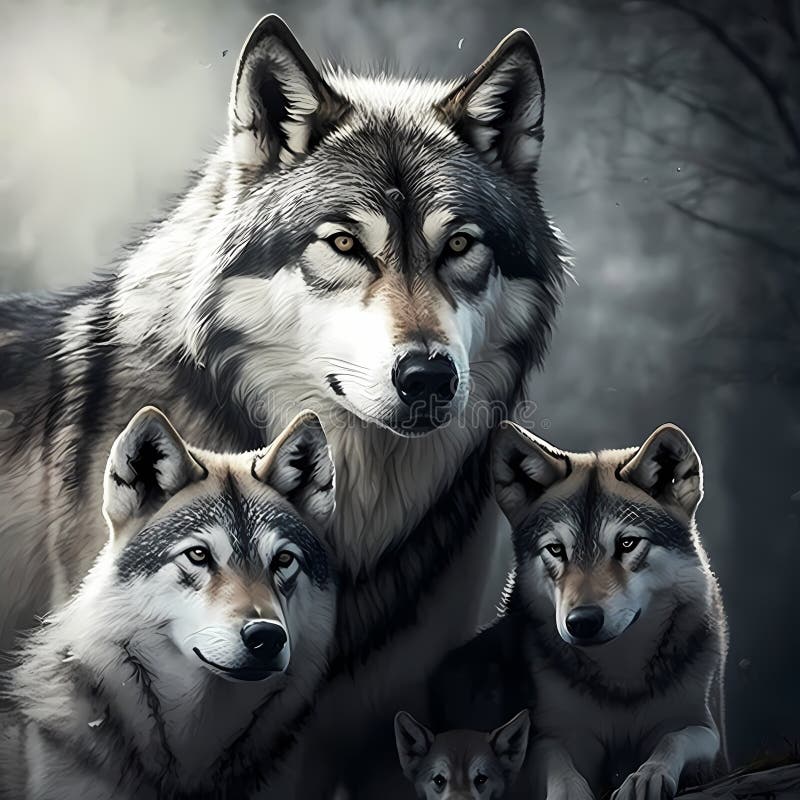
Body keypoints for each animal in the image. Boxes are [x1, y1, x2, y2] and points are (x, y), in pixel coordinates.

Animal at [431, 422, 728, 800]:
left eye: (627, 544)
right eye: (556, 550)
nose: (583, 622)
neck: (621, 681)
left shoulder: (701, 727)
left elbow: (676, 738)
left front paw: (647, 775)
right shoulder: (558, 735)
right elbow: (557, 762)